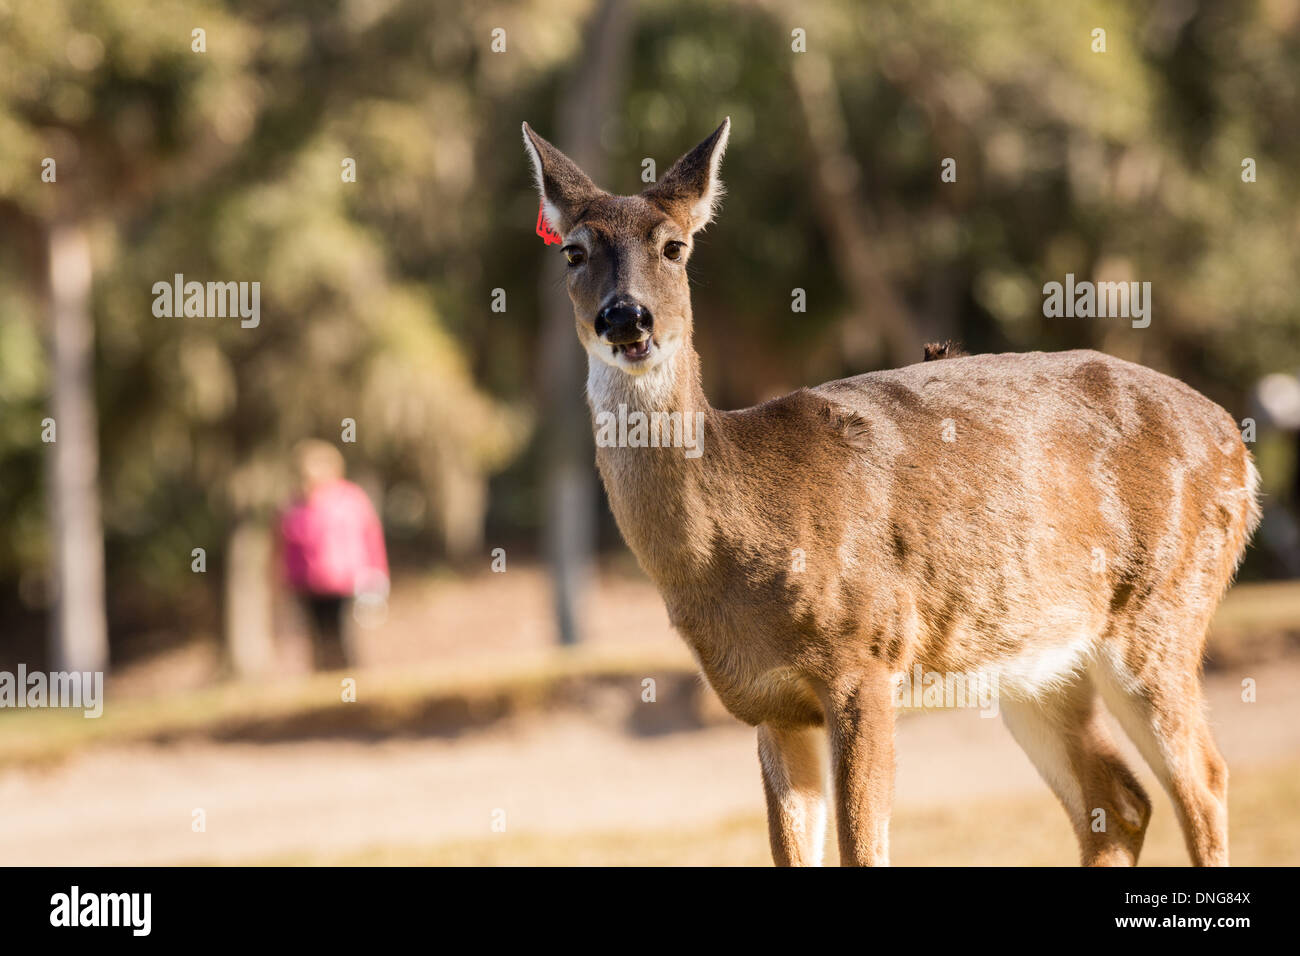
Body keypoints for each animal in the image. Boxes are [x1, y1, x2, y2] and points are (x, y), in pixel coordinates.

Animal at [522, 117, 1261, 866]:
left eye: (674, 246)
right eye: (574, 252)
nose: (626, 318)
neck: (738, 535)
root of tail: (1238, 445)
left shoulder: (866, 657)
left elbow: (864, 848)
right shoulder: (770, 707)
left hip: (1160, 609)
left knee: (1204, 779)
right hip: (1038, 660)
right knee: (1118, 799)